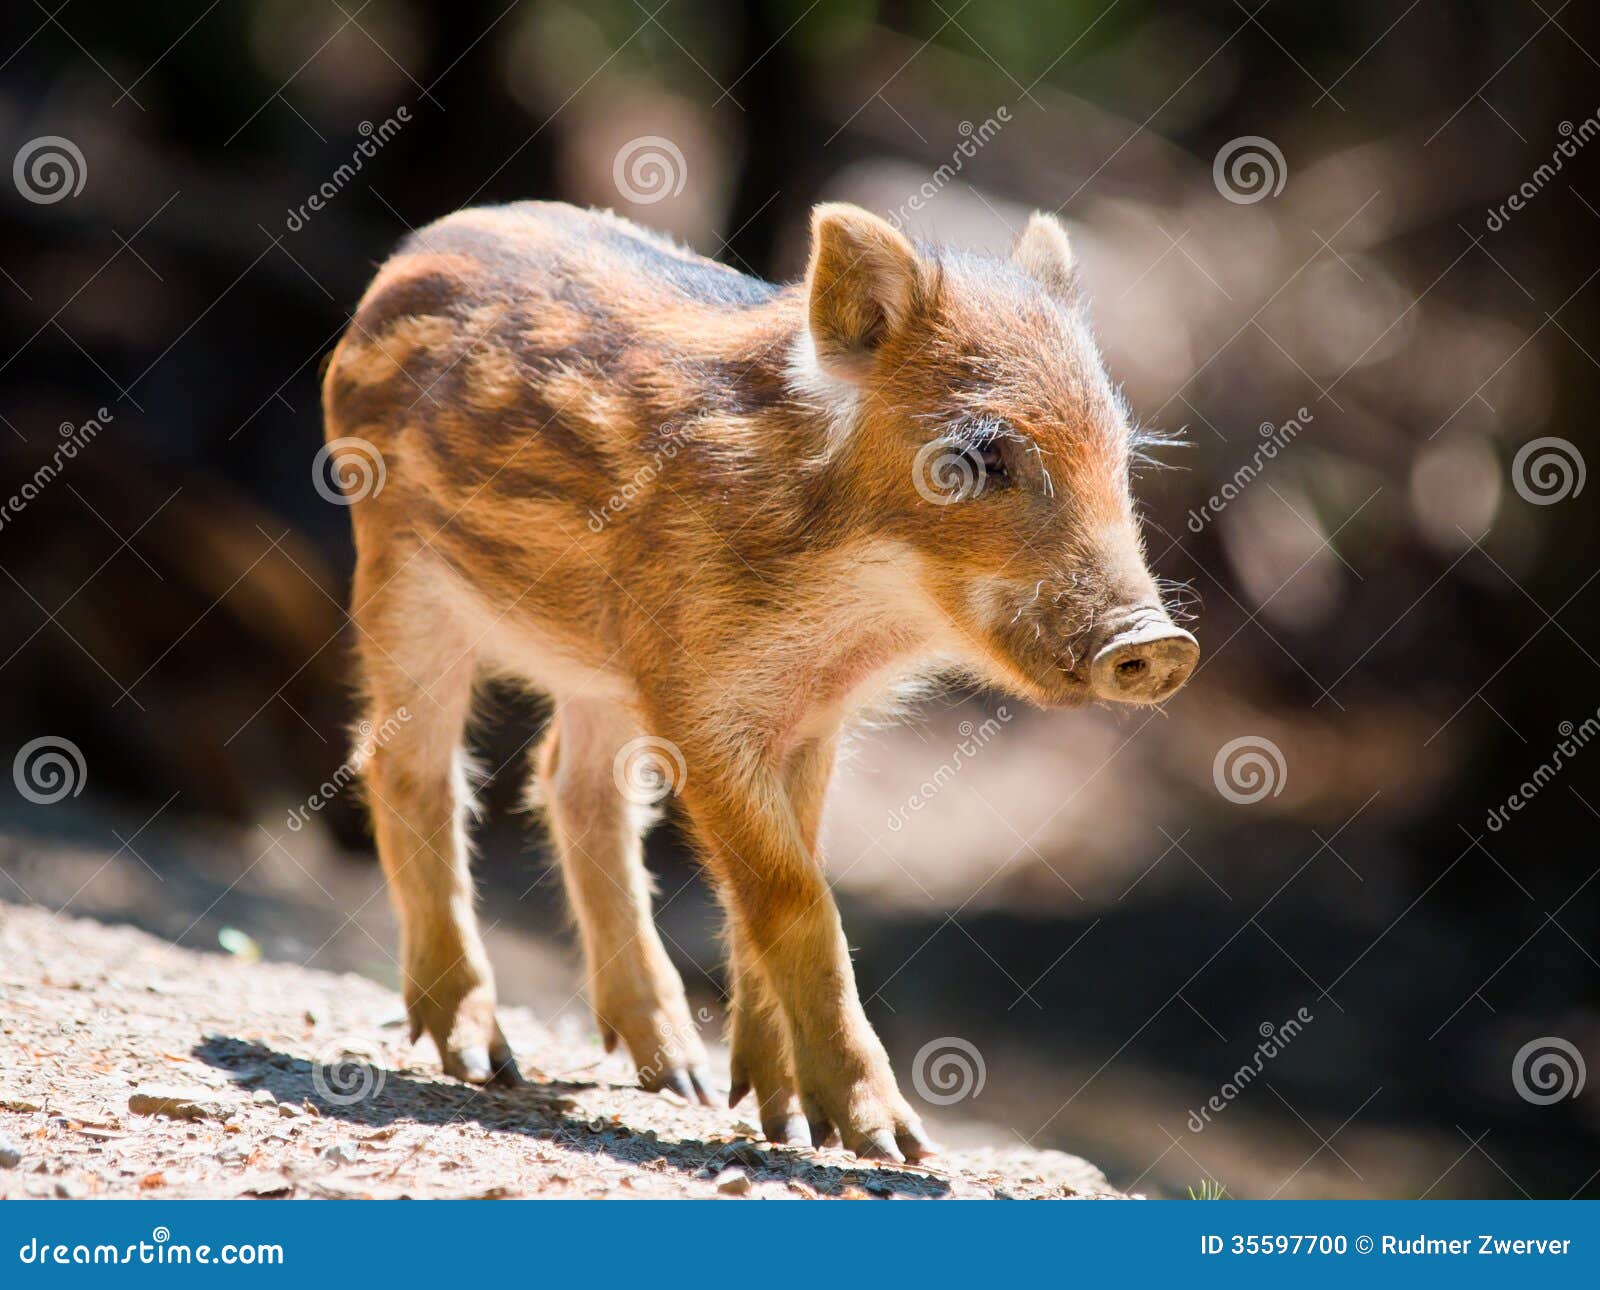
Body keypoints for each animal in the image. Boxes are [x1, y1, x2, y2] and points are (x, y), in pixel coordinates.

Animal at [320, 200, 1197, 1162]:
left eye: (1117, 451)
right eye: (978, 456)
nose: (1159, 641)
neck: (853, 608)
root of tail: (411, 252)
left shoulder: (805, 720)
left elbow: (768, 883)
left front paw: (782, 1118)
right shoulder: (701, 705)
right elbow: (796, 895)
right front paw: (889, 1141)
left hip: (603, 669)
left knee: (570, 783)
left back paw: (681, 1077)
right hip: (401, 576)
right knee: (410, 766)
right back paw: (485, 1059)